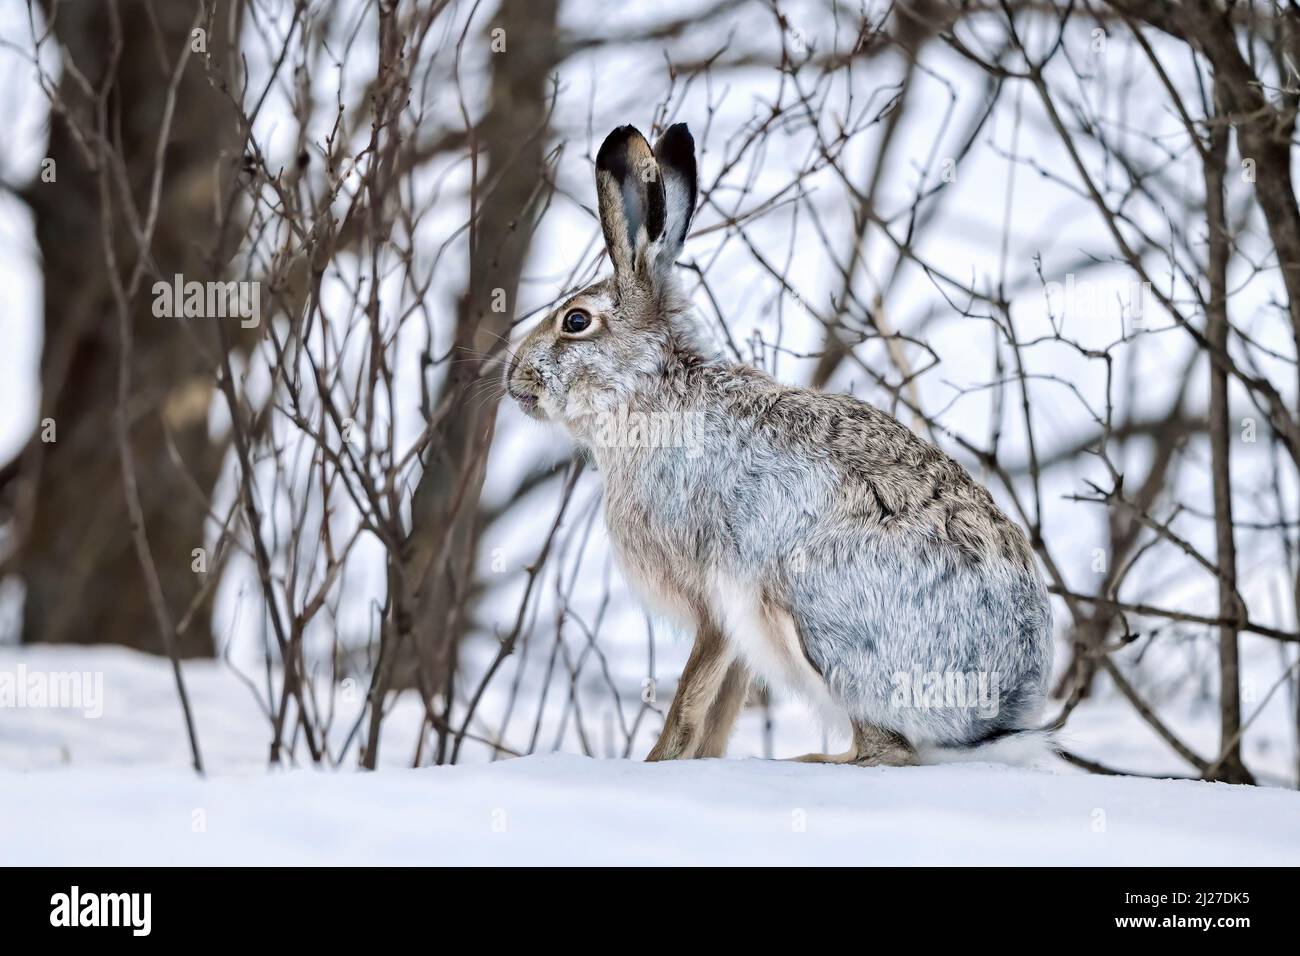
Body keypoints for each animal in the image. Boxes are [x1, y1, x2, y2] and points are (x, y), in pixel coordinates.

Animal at [506, 123, 1053, 766]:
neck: (648, 390)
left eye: (575, 322)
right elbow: (719, 706)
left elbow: (691, 695)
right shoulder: (738, 636)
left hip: (812, 608)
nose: (514, 379)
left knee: (888, 751)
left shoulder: (714, 599)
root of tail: (998, 712)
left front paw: (657, 763)